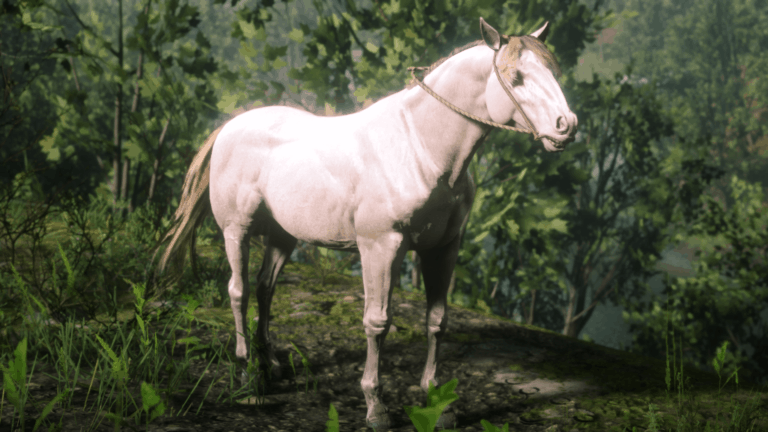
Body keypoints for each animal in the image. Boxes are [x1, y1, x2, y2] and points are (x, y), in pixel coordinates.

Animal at [157, 17, 577, 430]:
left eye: (553, 70)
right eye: (516, 76)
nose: (566, 126)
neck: (420, 148)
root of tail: (229, 128)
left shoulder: (443, 248)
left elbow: (437, 319)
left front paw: (434, 396)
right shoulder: (380, 247)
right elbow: (377, 322)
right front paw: (376, 406)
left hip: (283, 235)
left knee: (265, 288)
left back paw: (269, 363)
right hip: (236, 231)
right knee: (239, 291)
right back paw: (246, 370)